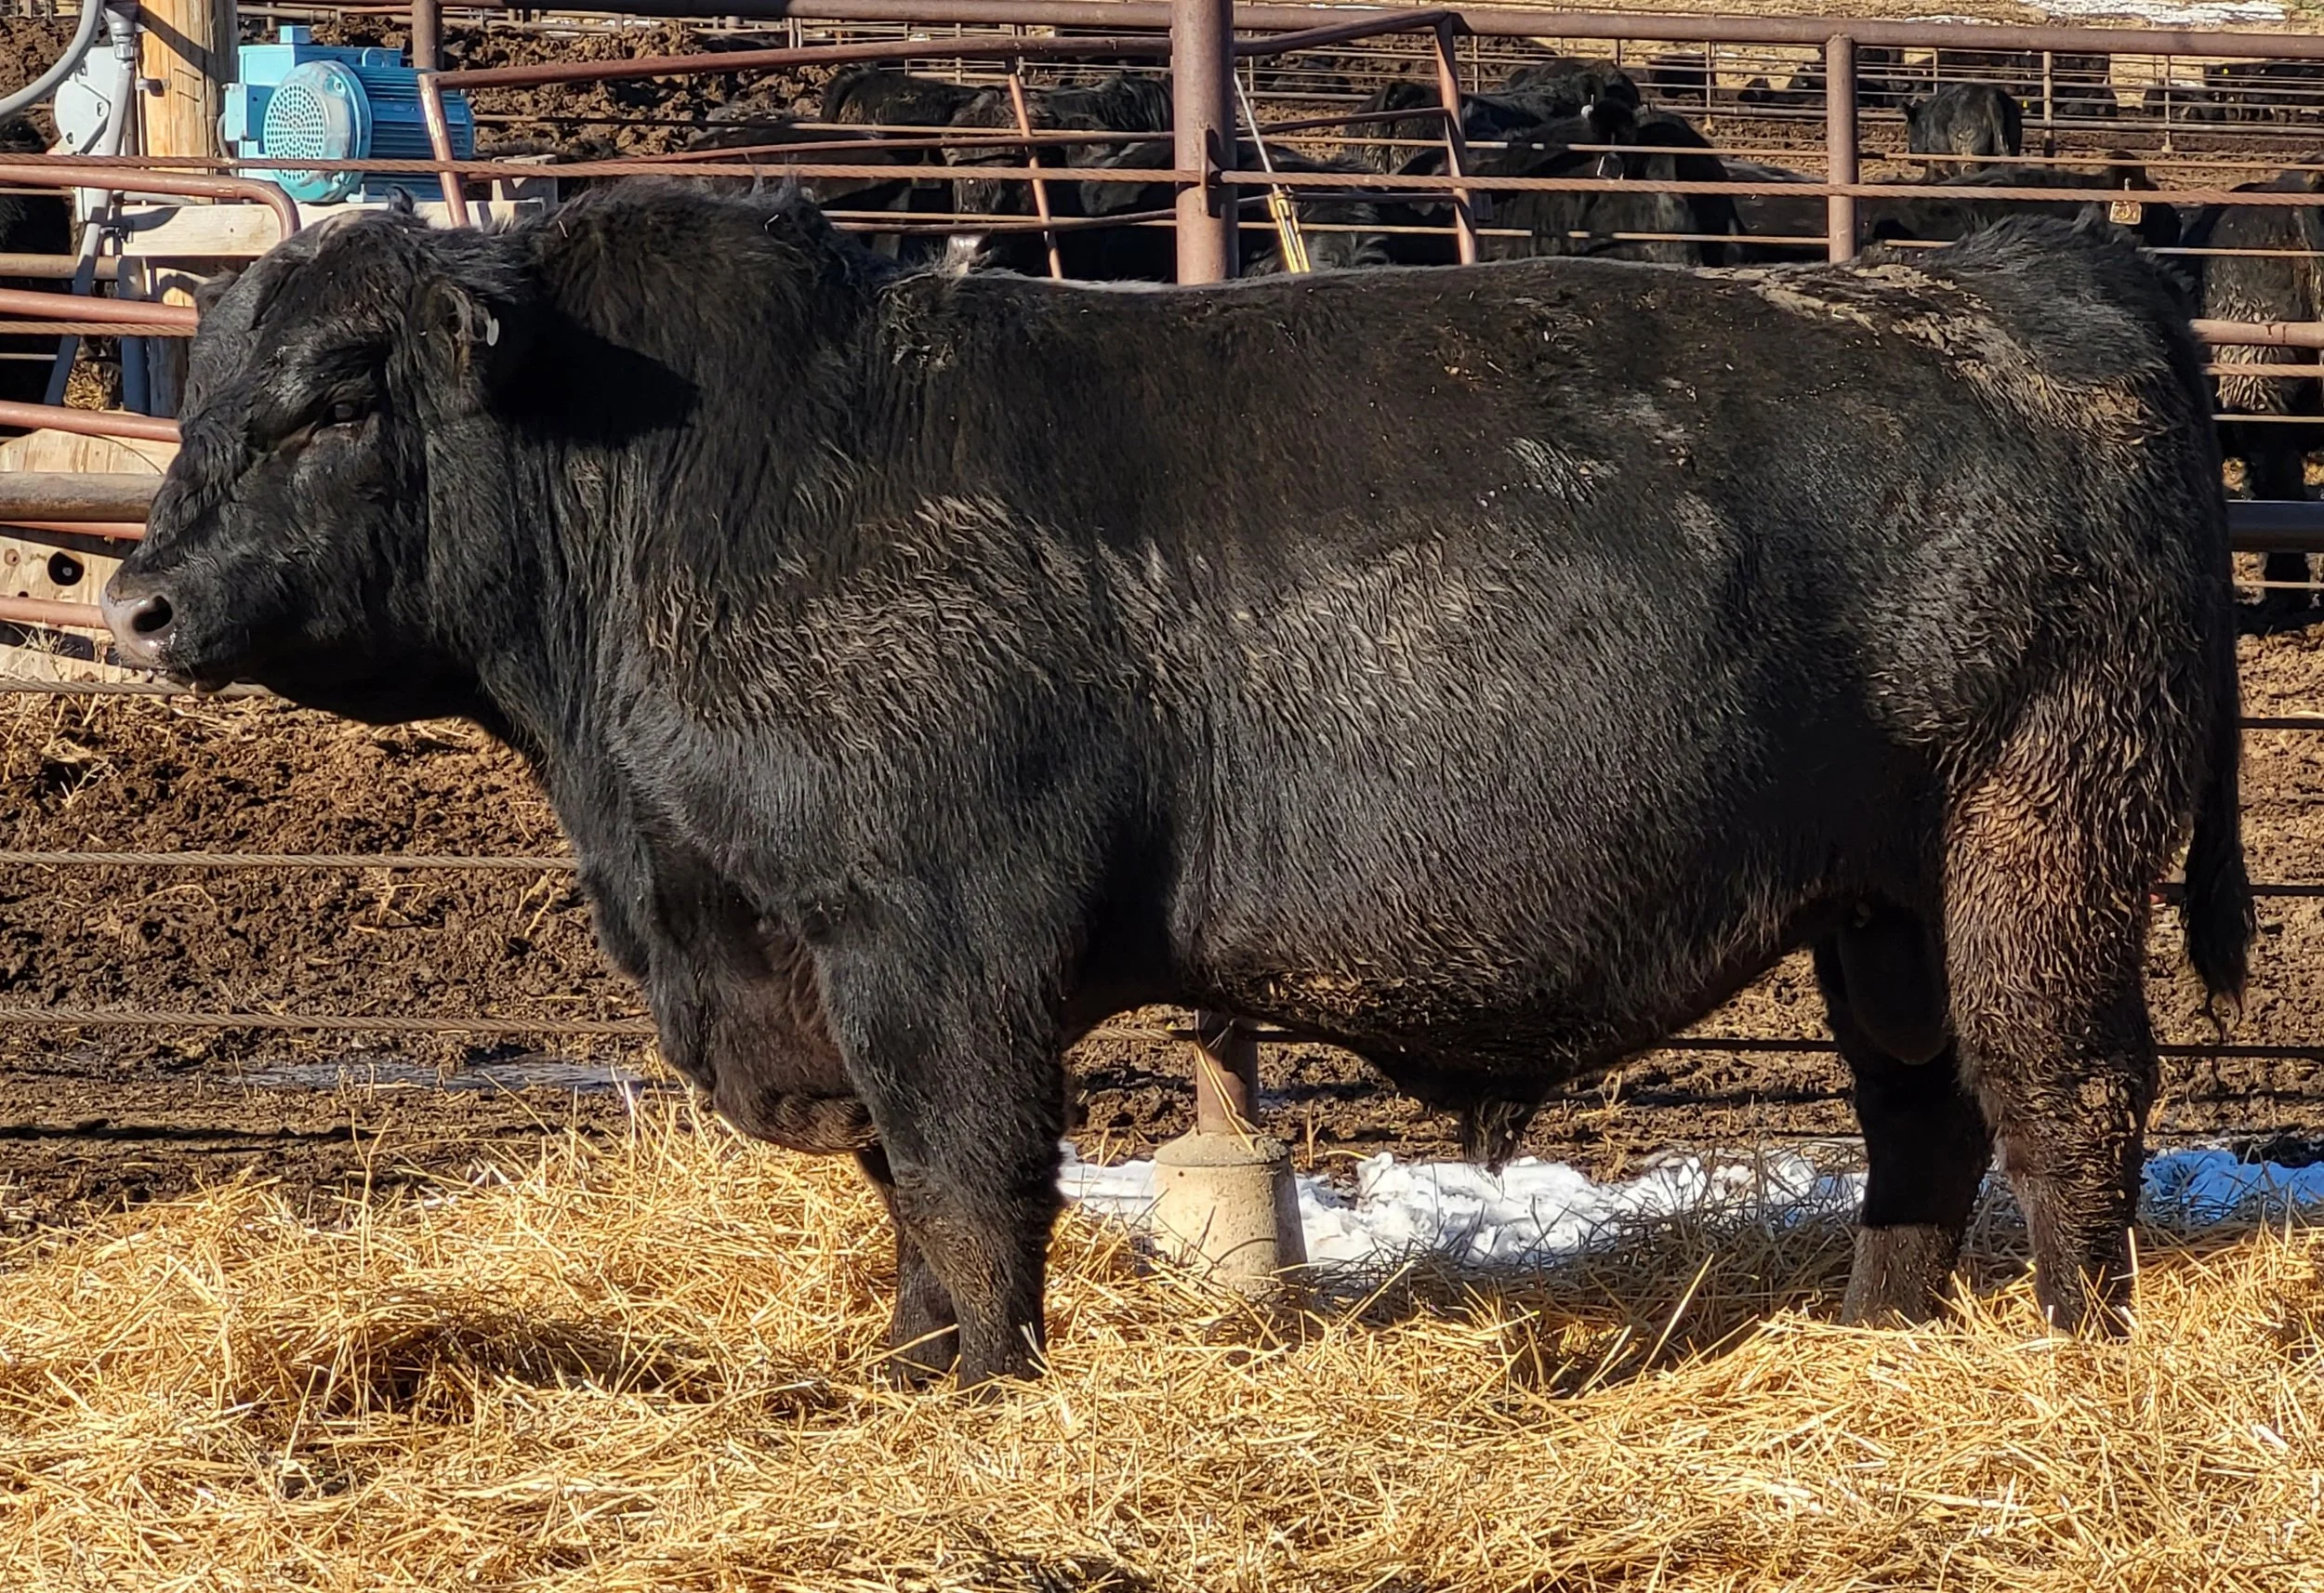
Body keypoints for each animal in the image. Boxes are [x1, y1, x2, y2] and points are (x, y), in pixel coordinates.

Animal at [102, 186, 2250, 1387]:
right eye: (202, 397)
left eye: (326, 400)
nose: (133, 600)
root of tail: (2021, 264)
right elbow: (902, 1192)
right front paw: (896, 1375)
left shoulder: (935, 944)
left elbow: (966, 1179)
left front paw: (975, 1385)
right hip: (1878, 897)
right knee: (1923, 1109)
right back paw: (1878, 1335)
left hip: (2036, 829)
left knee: (2064, 1087)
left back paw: (2081, 1354)